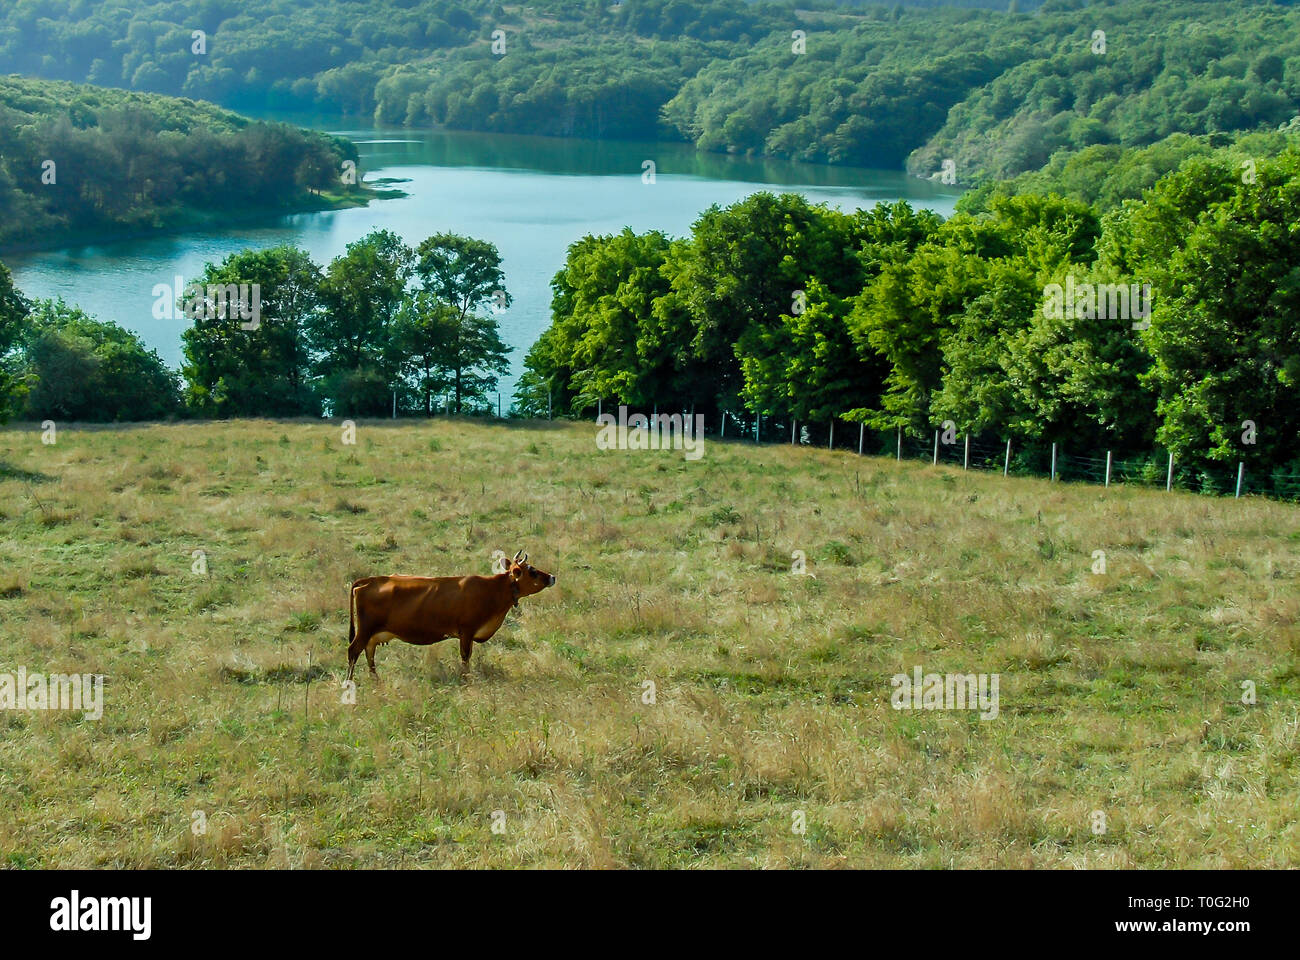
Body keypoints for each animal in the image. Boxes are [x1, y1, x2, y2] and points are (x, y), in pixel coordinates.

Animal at [346, 551, 555, 682]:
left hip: (373, 634)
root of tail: (370, 580)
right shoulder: (467, 631)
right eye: (532, 571)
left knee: (369, 654)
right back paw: (349, 683)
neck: (491, 590)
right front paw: (466, 679)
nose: (552, 577)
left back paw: (376, 681)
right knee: (353, 651)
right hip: (364, 631)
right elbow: (465, 656)